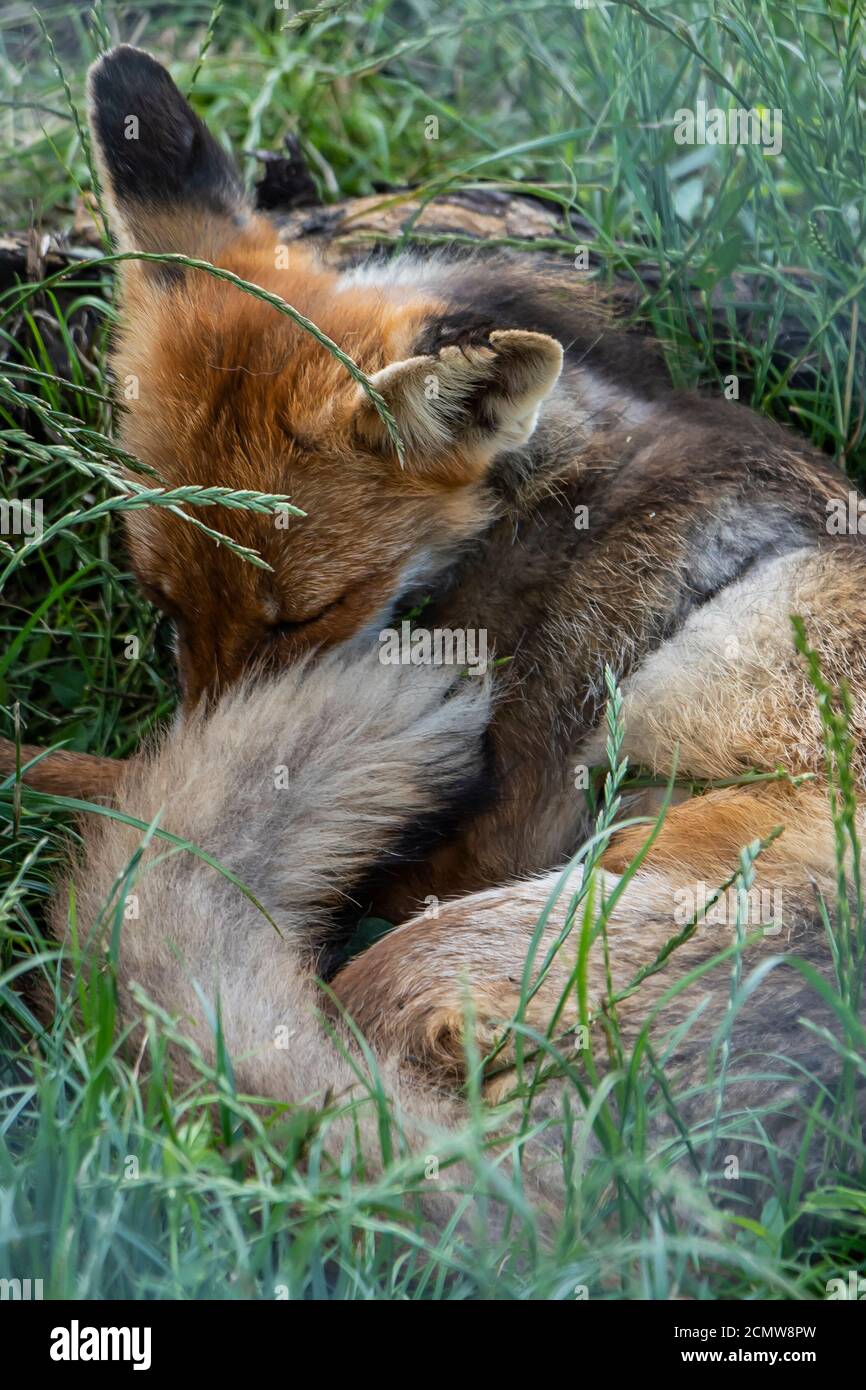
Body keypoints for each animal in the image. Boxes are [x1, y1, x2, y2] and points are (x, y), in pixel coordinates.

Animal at [4, 48, 866, 1185]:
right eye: (165, 602)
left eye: (307, 615)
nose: (236, 730)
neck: (548, 497)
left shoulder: (495, 829)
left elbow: (92, 777)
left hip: (538, 905)